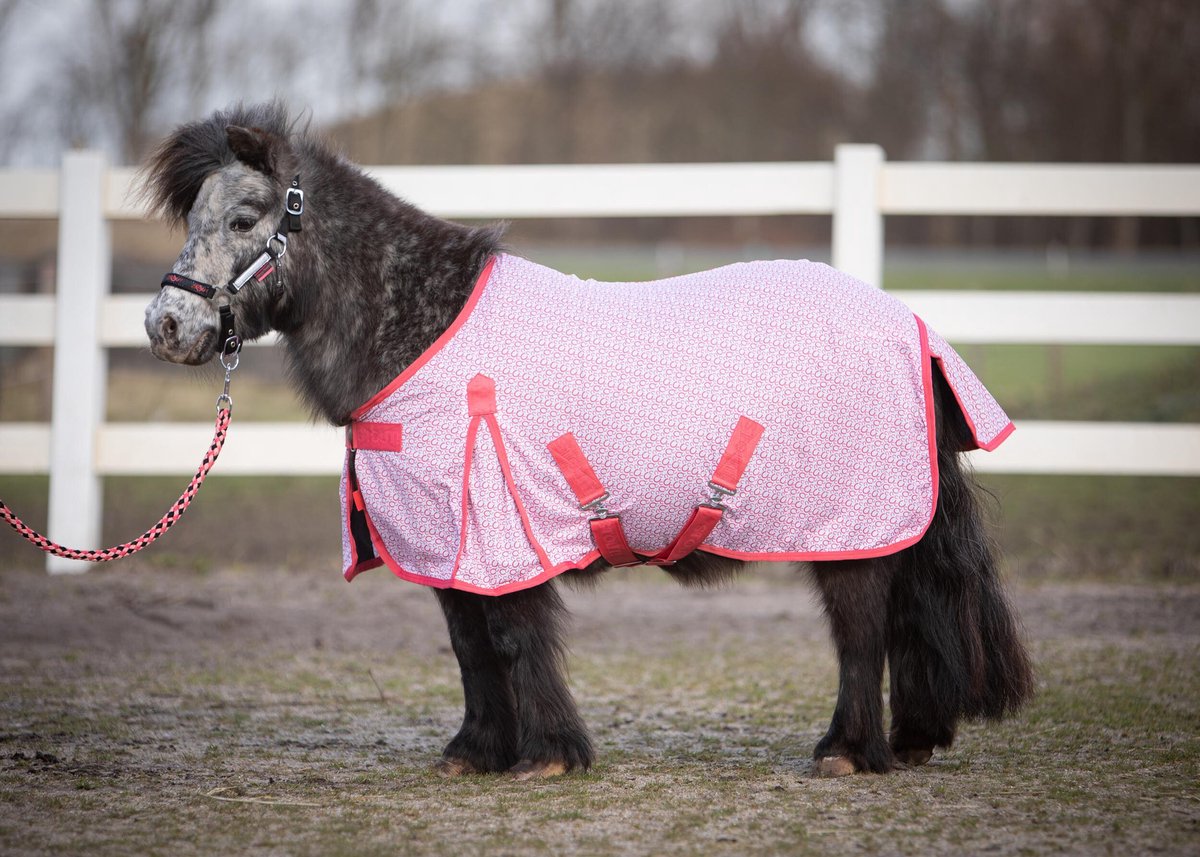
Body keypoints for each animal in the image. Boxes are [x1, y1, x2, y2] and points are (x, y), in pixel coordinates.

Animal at [142, 103, 1033, 780]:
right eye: (192, 218)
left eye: (245, 218)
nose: (166, 325)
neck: (421, 328)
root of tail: (909, 323)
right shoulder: (450, 543)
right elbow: (468, 644)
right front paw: (476, 751)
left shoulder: (503, 534)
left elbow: (512, 635)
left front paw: (547, 754)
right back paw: (908, 739)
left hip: (848, 527)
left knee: (860, 627)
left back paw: (846, 750)